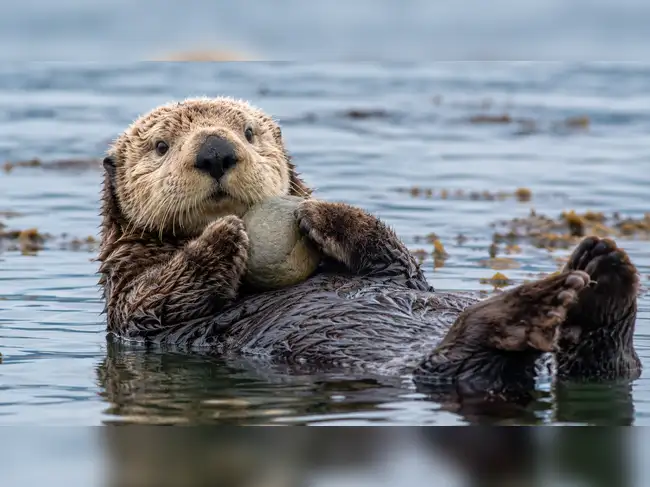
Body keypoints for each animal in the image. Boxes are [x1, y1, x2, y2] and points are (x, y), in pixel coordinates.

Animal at [98, 96, 641, 405]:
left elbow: (396, 260)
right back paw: (540, 303)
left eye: (248, 133)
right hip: (448, 366)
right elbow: (155, 298)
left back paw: (601, 274)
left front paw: (321, 213)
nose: (215, 149)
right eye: (162, 146)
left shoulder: (396, 269)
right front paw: (224, 235)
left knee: (607, 363)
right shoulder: (130, 303)